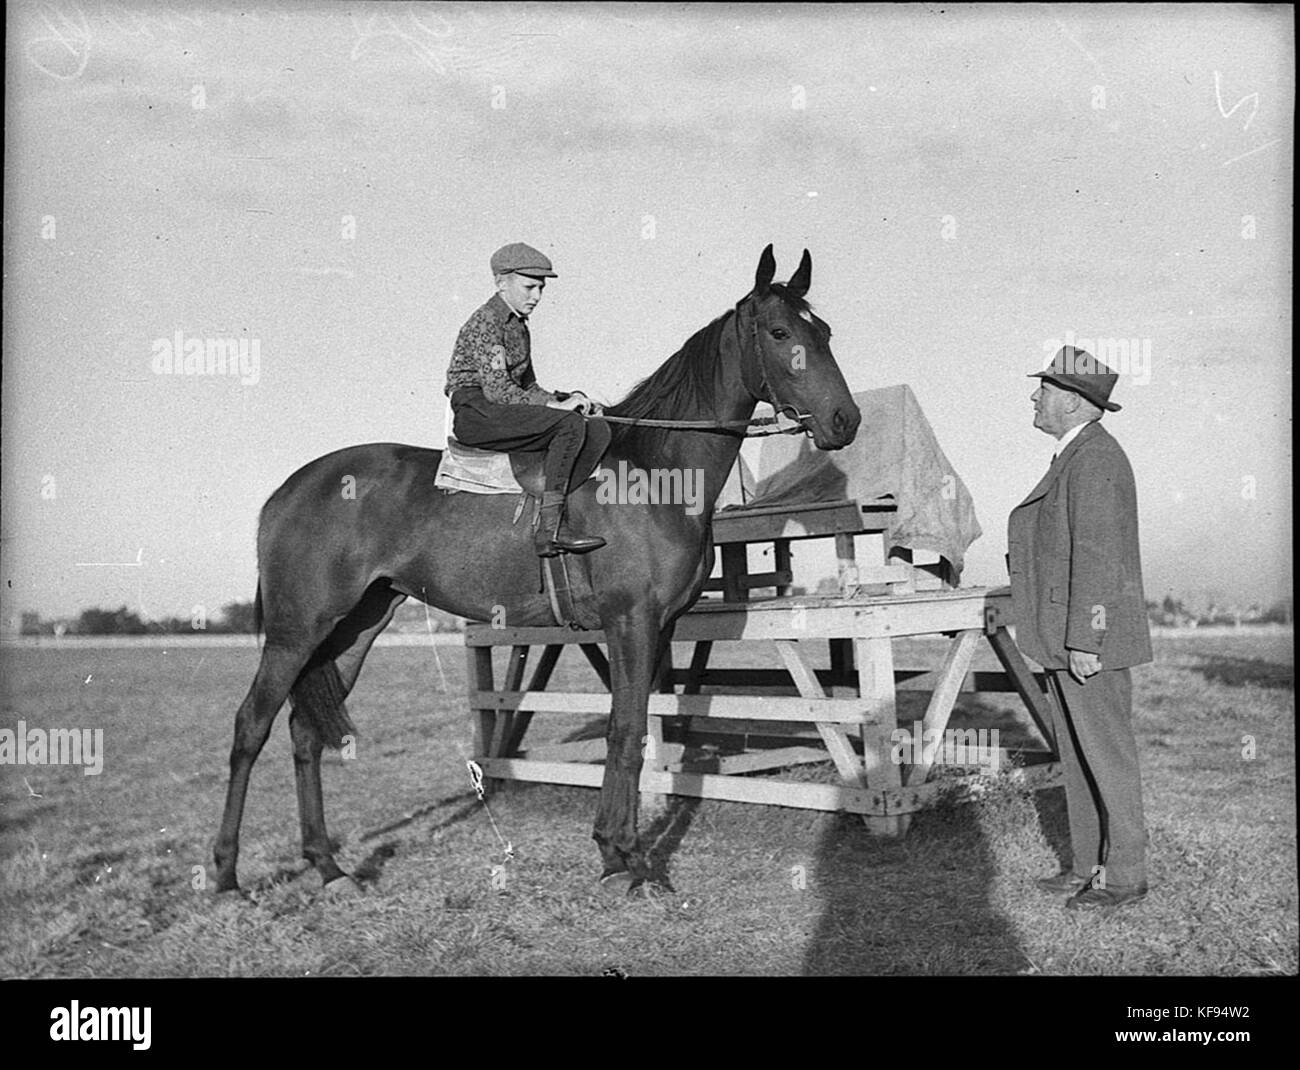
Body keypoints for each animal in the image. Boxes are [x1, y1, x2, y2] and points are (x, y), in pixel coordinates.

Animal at [213, 245, 861, 895]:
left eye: (826, 331)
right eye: (780, 332)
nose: (844, 421)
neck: (655, 472)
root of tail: (287, 492)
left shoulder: (660, 627)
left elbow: (633, 729)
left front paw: (616, 852)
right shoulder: (631, 622)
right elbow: (625, 734)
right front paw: (627, 860)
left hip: (354, 628)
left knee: (303, 731)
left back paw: (327, 866)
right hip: (297, 630)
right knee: (251, 725)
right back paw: (226, 874)